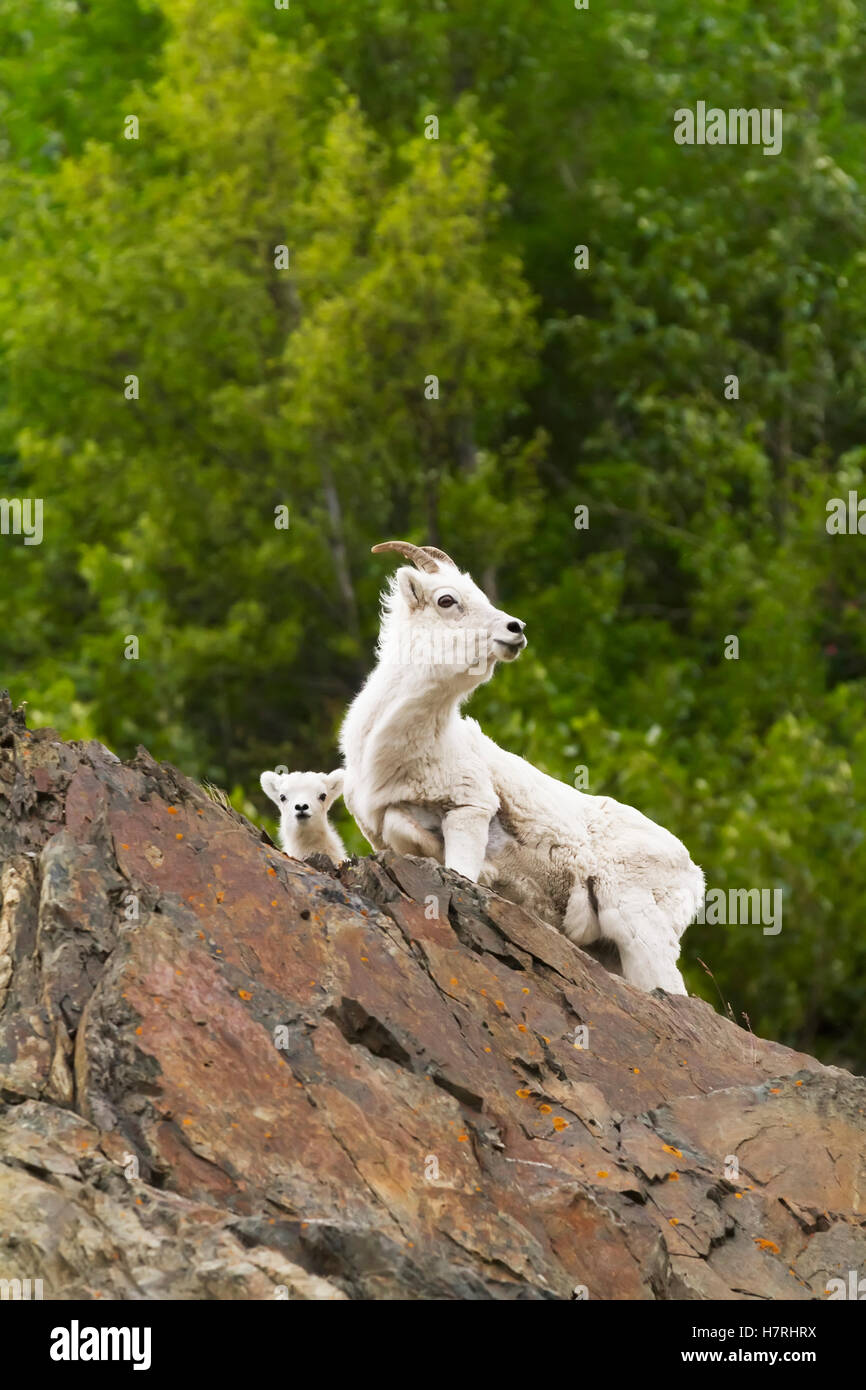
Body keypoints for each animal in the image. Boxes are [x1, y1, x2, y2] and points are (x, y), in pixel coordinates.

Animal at [340, 541, 704, 994]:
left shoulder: (469, 810)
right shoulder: (383, 830)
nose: (516, 629)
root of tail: (693, 874)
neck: (391, 753)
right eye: (447, 600)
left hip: (637, 923)